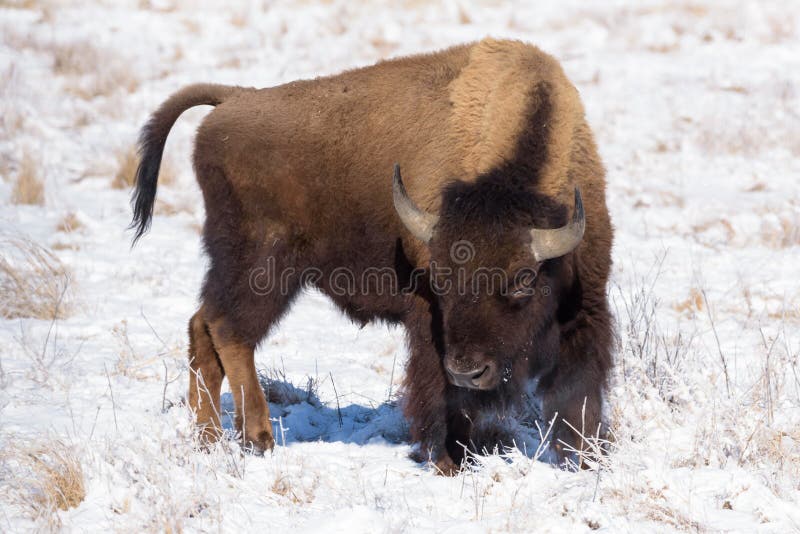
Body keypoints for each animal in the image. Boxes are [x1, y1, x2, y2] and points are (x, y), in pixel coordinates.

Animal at [130, 38, 614, 473]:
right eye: (441, 279)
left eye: (523, 278)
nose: (469, 371)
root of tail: (233, 98)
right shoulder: (430, 323)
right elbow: (439, 394)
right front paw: (447, 462)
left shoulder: (584, 307)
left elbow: (579, 397)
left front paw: (586, 462)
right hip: (264, 268)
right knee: (229, 330)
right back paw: (258, 438)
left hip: (233, 266)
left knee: (202, 327)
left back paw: (209, 439)